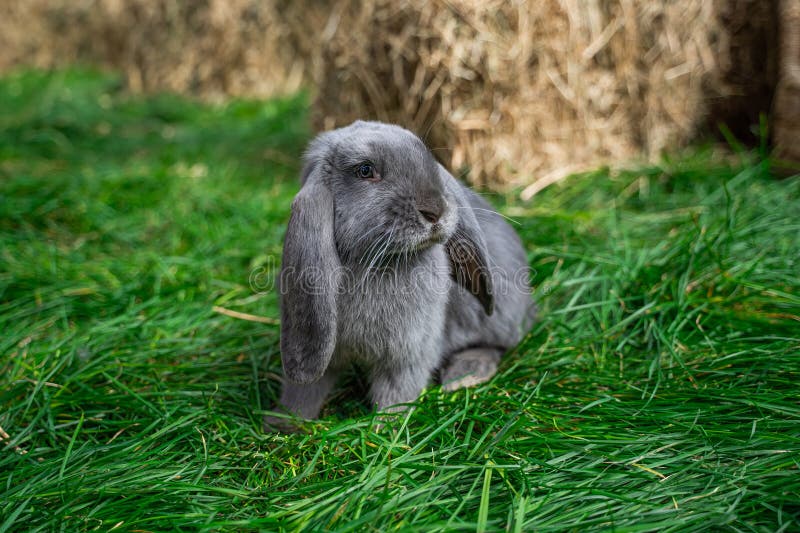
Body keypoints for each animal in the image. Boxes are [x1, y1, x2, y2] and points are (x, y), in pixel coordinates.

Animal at [265, 121, 535, 430]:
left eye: (427, 158)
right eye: (365, 170)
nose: (435, 210)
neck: (377, 263)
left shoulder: (407, 354)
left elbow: (396, 393)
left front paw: (384, 431)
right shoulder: (323, 352)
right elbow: (304, 391)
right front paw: (280, 426)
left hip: (497, 318)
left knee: (497, 345)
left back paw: (464, 376)